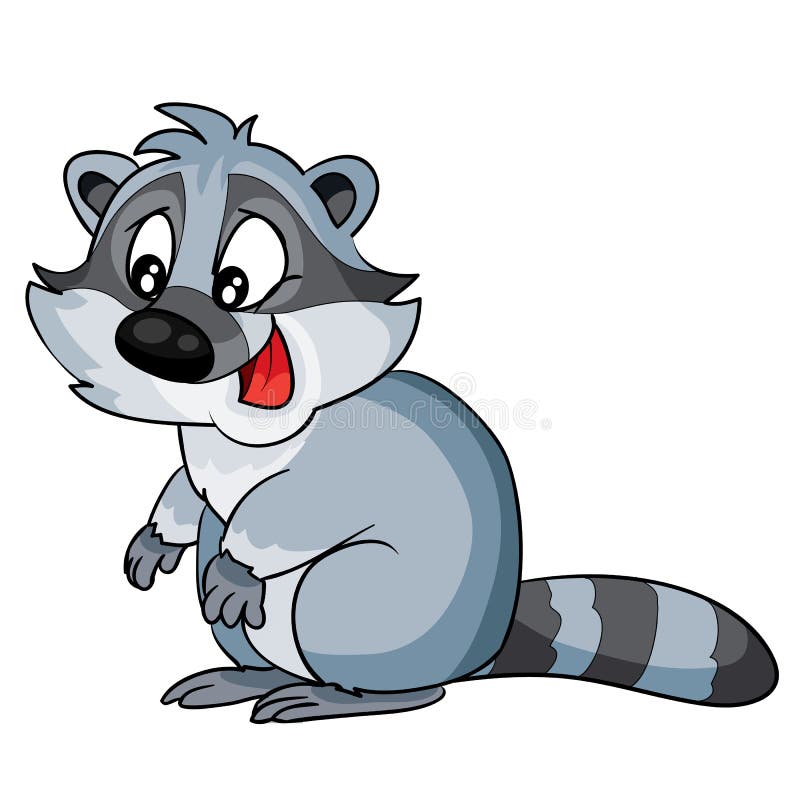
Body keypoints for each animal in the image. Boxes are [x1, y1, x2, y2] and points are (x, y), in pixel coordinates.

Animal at [27, 104, 778, 723]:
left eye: (238, 283)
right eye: (145, 273)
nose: (161, 340)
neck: (235, 419)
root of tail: (481, 643)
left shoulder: (339, 458)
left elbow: (302, 511)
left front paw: (243, 558)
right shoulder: (200, 449)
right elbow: (191, 489)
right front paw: (162, 530)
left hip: (382, 613)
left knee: (360, 627)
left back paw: (348, 694)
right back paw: (254, 676)